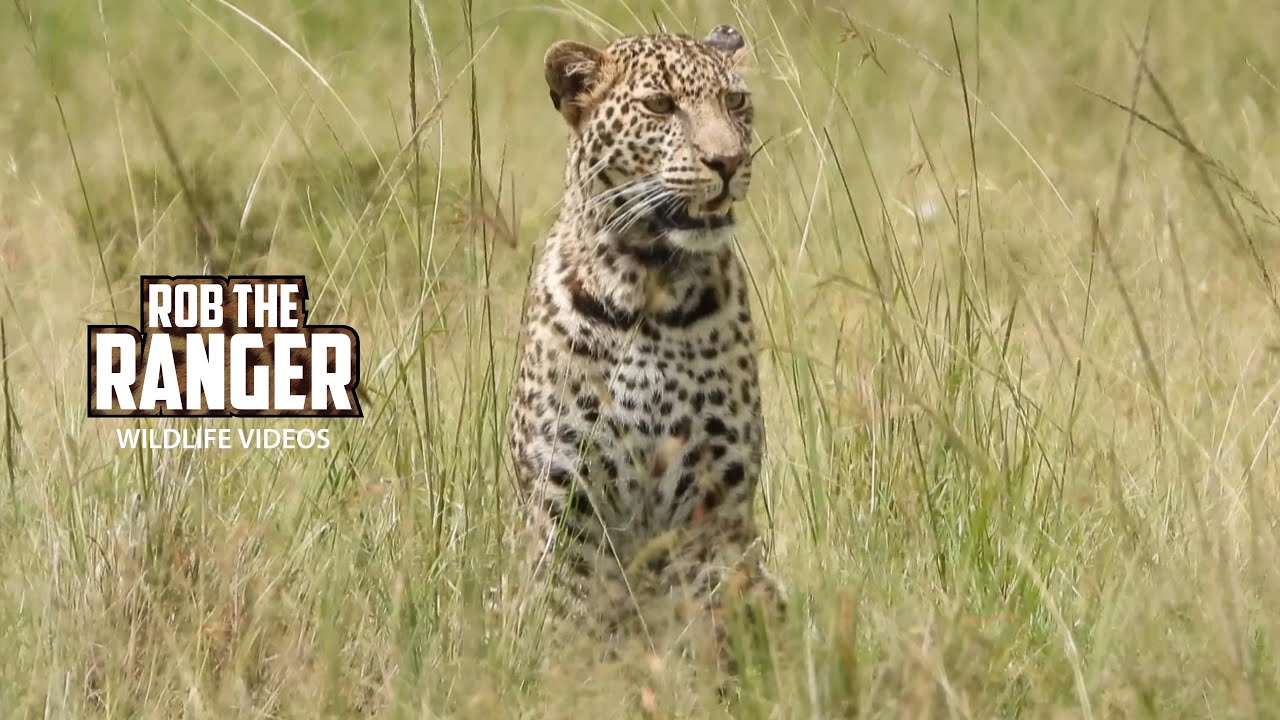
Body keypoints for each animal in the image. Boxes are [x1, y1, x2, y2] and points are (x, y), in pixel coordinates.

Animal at [507, 24, 785, 668]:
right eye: (660, 105)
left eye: (735, 101)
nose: (728, 162)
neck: (650, 291)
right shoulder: (567, 495)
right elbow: (566, 614)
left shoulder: (713, 502)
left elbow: (703, 622)